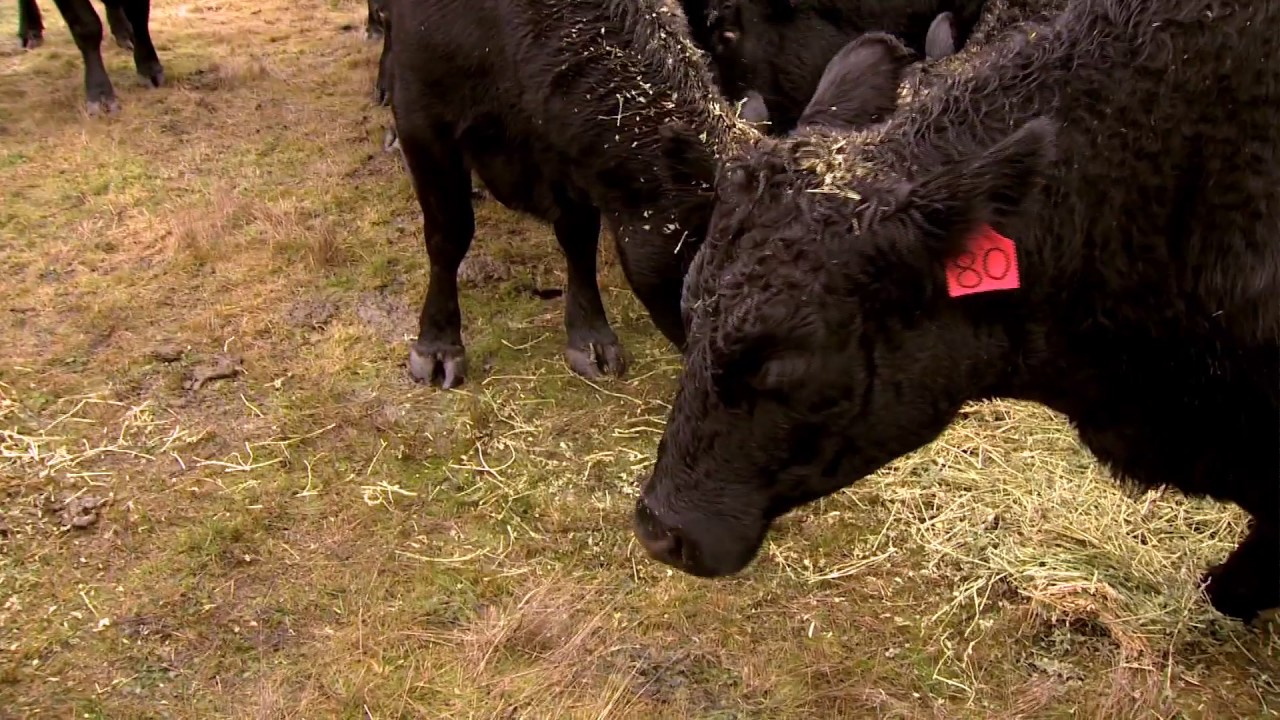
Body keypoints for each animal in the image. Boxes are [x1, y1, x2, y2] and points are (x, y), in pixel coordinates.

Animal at [20, 0, 163, 115]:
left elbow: (138, 15)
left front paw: (149, 69)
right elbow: (87, 27)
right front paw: (100, 95)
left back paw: (124, 32)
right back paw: (30, 31)